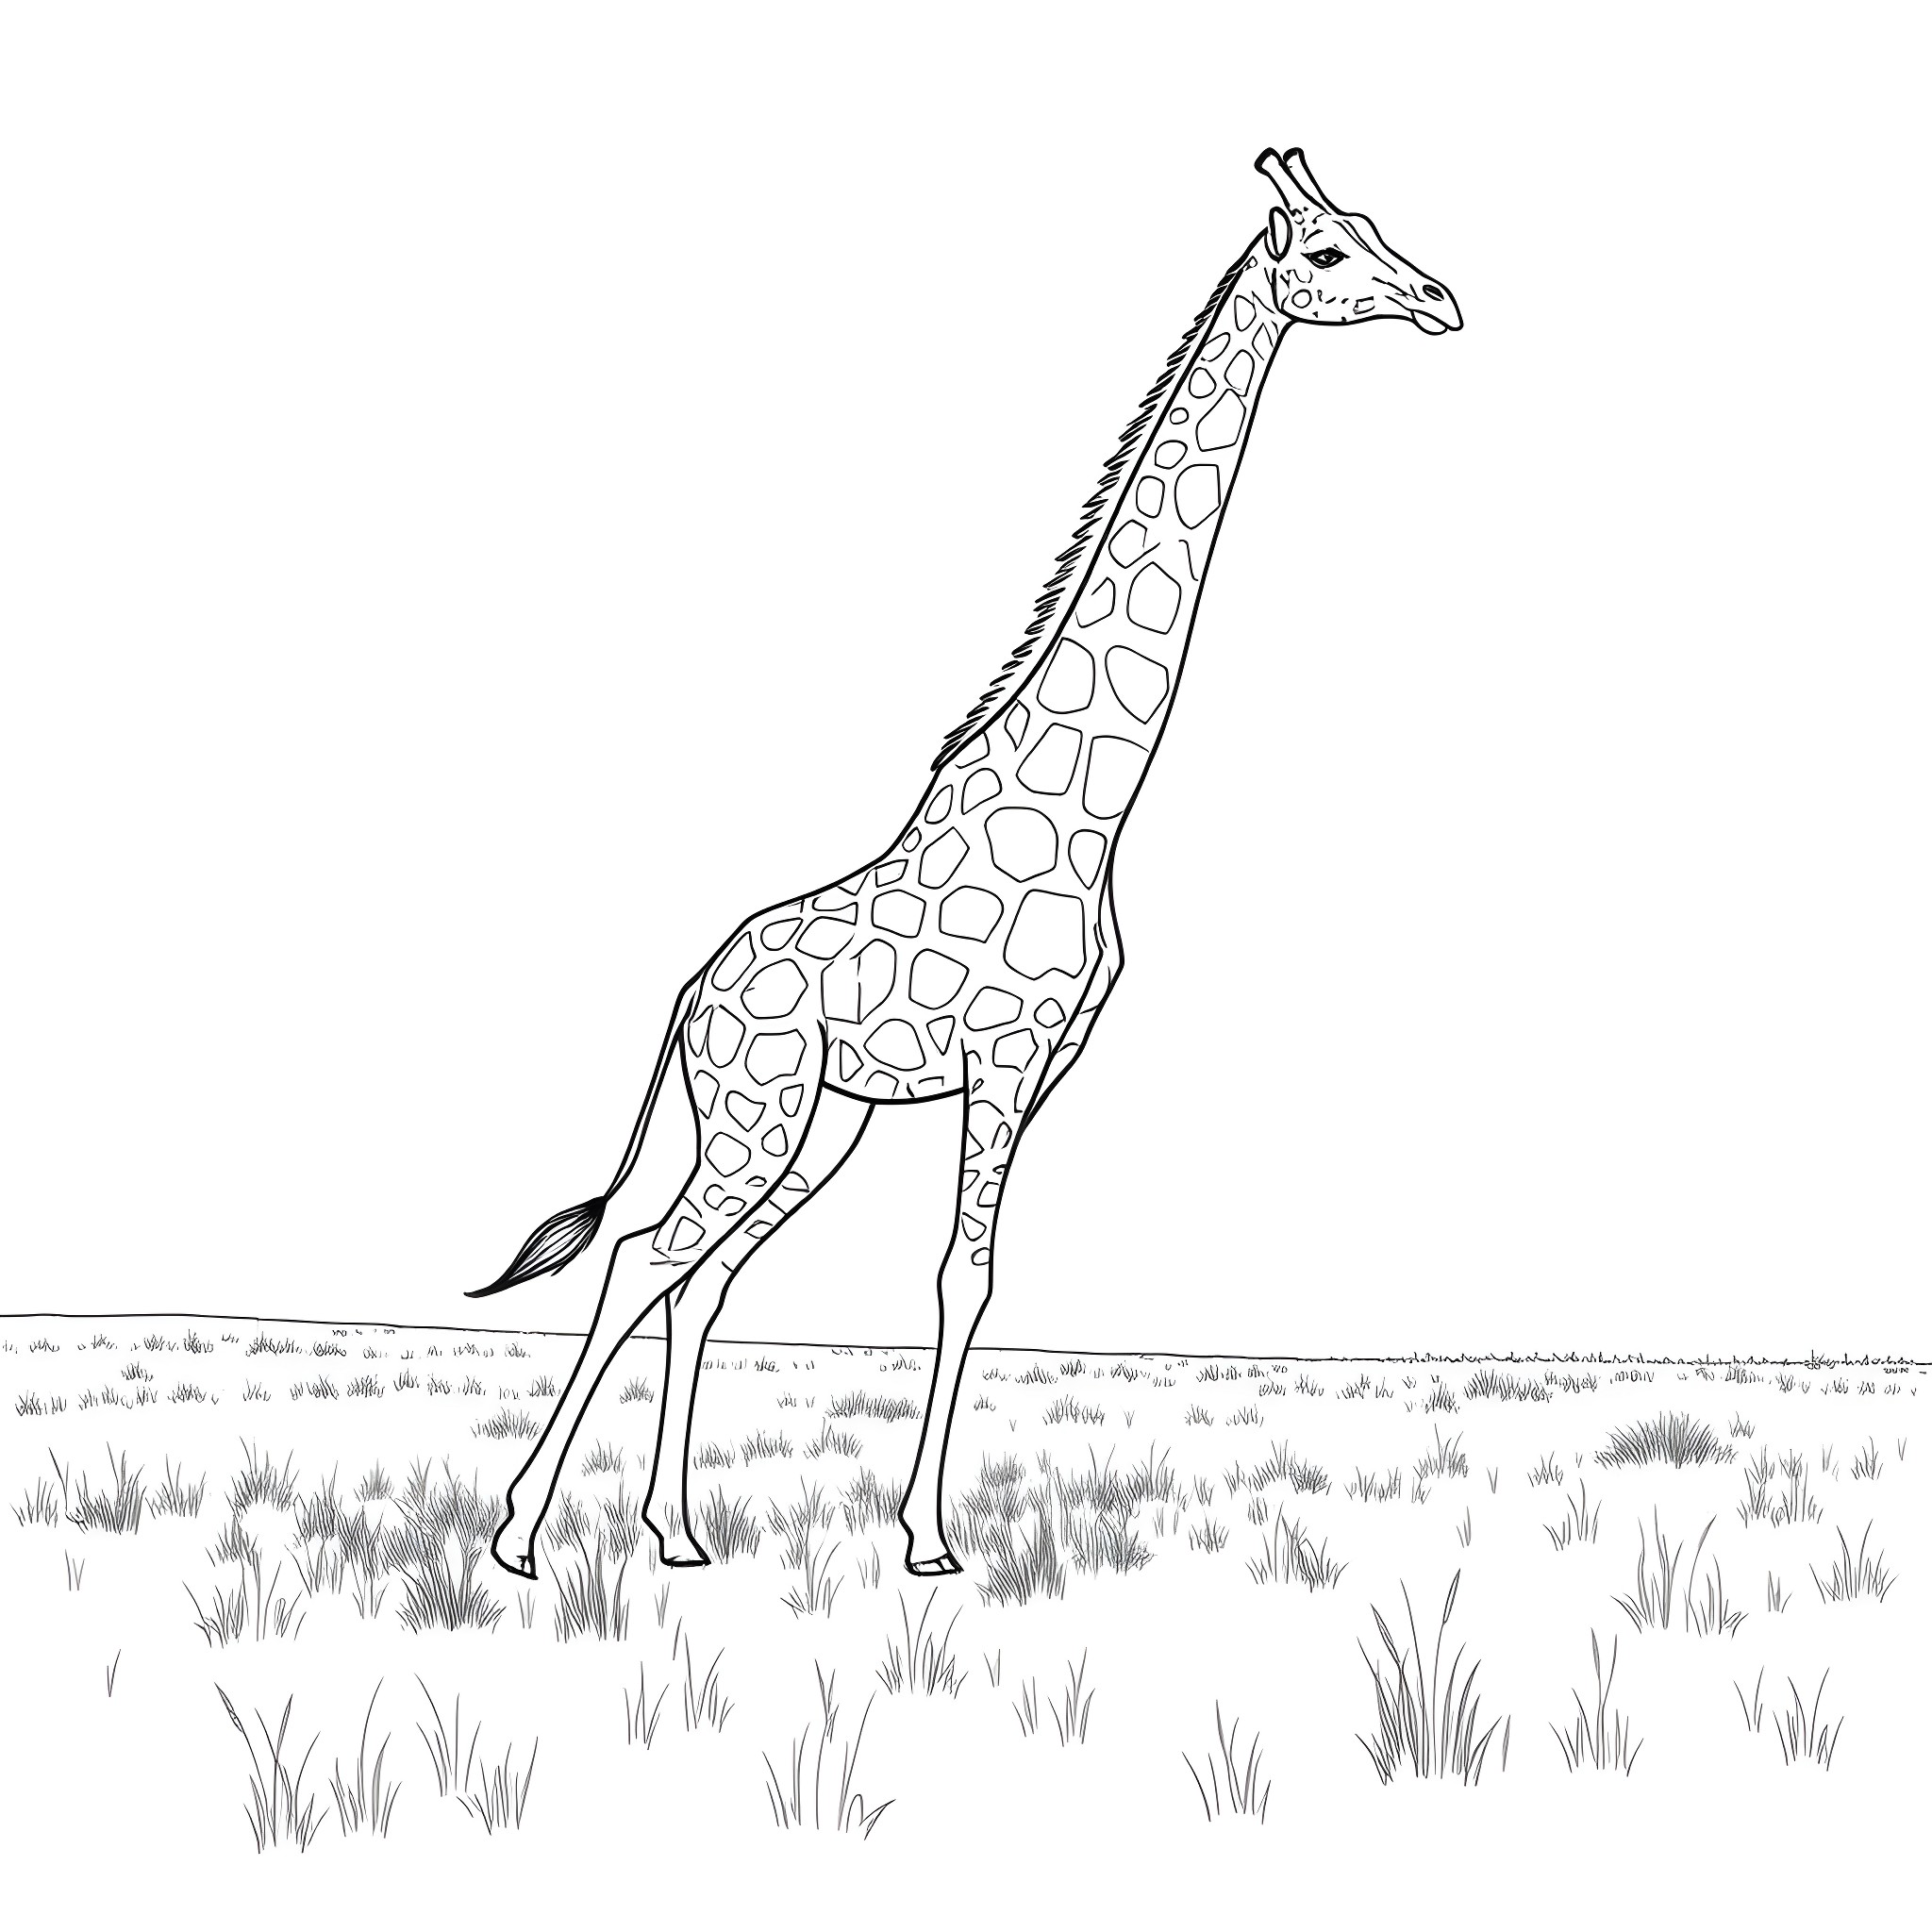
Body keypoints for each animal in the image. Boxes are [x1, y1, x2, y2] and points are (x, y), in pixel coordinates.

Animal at [473, 147, 1460, 1579]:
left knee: (704, 1273)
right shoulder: (998, 1055)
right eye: (1328, 253)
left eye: (1376, 228)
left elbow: (978, 1275)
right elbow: (960, 1273)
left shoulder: (1046, 1066)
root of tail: (690, 995)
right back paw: (516, 1534)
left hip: (816, 1123)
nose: (1441, 300)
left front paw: (913, 1522)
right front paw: (929, 1537)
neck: (1087, 812)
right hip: (759, 1106)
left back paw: (675, 1532)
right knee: (647, 1255)